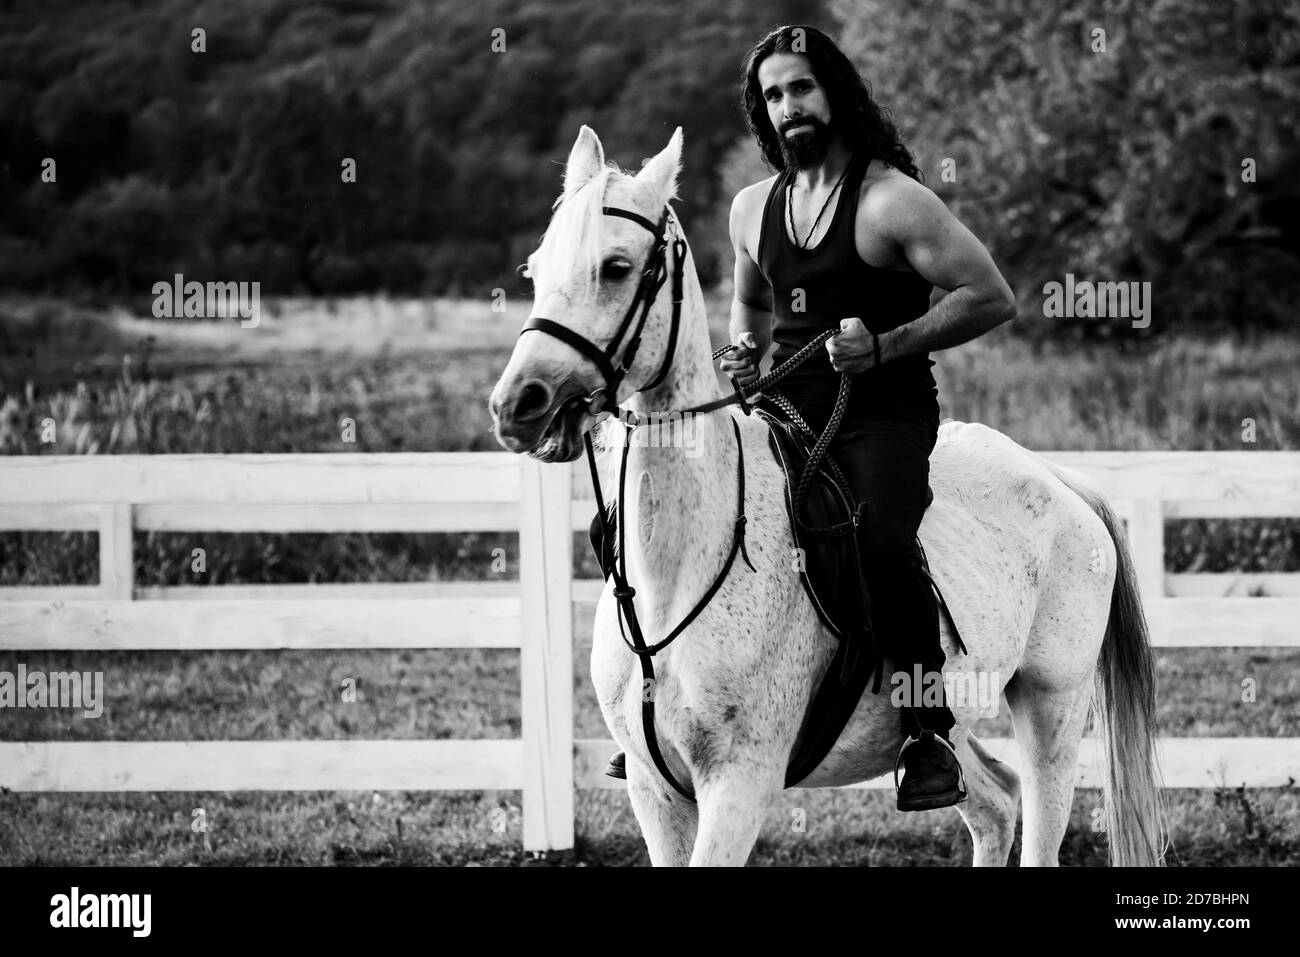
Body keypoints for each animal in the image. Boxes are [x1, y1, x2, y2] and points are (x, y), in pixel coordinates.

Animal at [488, 125, 1166, 867]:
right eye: (535, 269)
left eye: (615, 267)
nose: (519, 404)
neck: (679, 570)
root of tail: (1059, 482)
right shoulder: (654, 790)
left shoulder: (739, 783)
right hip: (956, 721)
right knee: (994, 804)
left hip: (1053, 704)